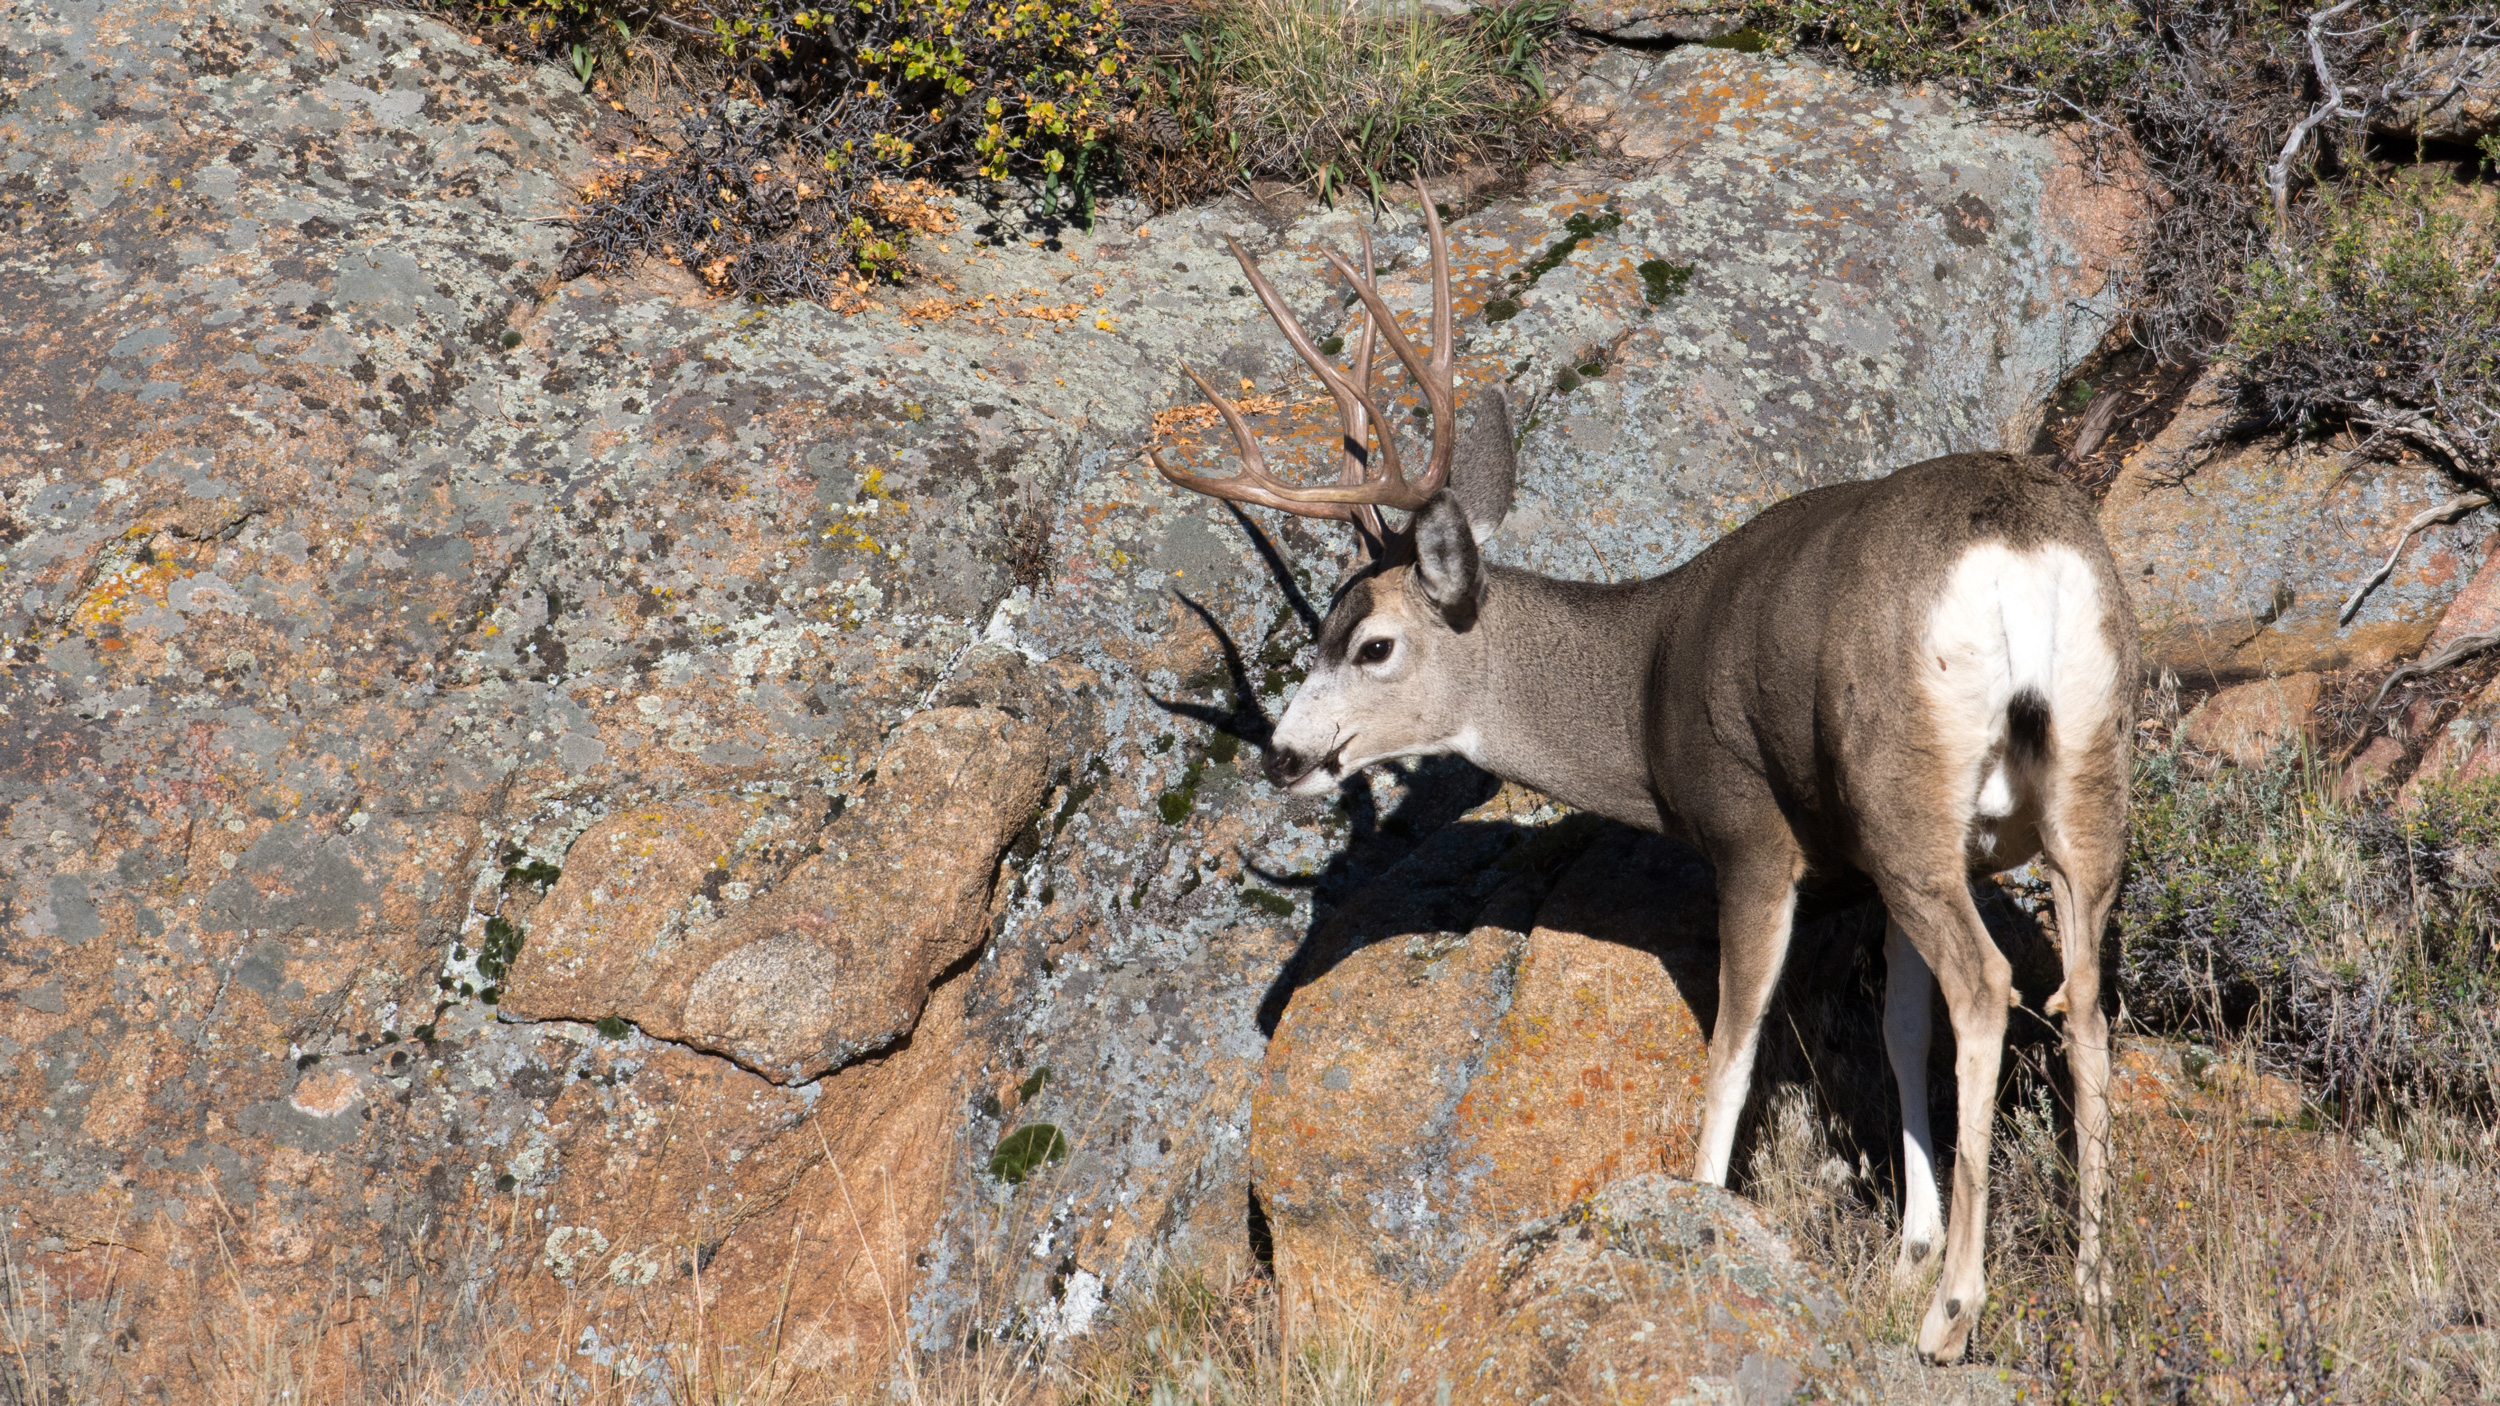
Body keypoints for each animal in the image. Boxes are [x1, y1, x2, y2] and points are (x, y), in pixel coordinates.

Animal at [1146, 188, 2138, 1364]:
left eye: (1374, 645)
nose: (1283, 756)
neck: (1646, 673)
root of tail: (2019, 554)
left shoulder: (1754, 834)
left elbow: (1735, 1047)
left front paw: (1707, 1217)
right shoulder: (1889, 867)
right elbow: (1902, 1030)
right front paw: (1907, 1252)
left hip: (1902, 794)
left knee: (1988, 987)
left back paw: (1955, 1315)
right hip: (2076, 786)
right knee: (2085, 1004)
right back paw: (2090, 1293)